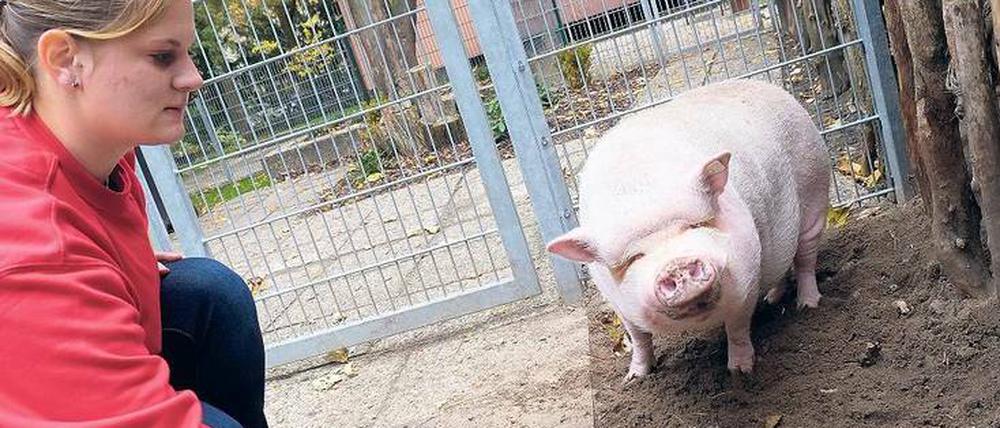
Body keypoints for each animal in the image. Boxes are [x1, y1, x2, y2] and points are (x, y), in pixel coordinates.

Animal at [547, 79, 830, 380]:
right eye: (633, 258)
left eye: (696, 224)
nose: (677, 265)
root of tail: (770, 86)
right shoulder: (618, 304)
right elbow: (638, 338)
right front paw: (634, 377)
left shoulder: (746, 276)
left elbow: (738, 329)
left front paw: (740, 372)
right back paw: (773, 299)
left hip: (814, 191)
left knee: (805, 259)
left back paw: (807, 304)